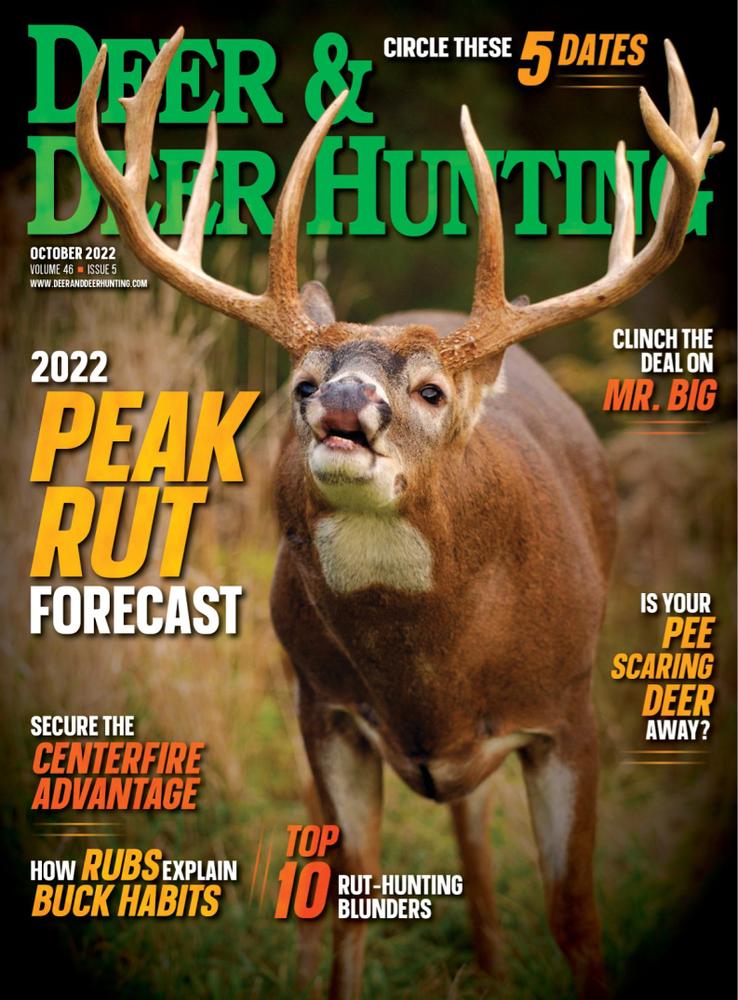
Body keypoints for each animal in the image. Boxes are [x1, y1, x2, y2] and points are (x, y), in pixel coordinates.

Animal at [76, 28, 721, 999]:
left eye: (428, 390)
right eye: (305, 384)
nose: (345, 404)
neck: (429, 676)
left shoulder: (568, 712)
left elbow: (575, 914)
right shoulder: (329, 708)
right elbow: (352, 892)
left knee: (472, 821)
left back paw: (492, 963)